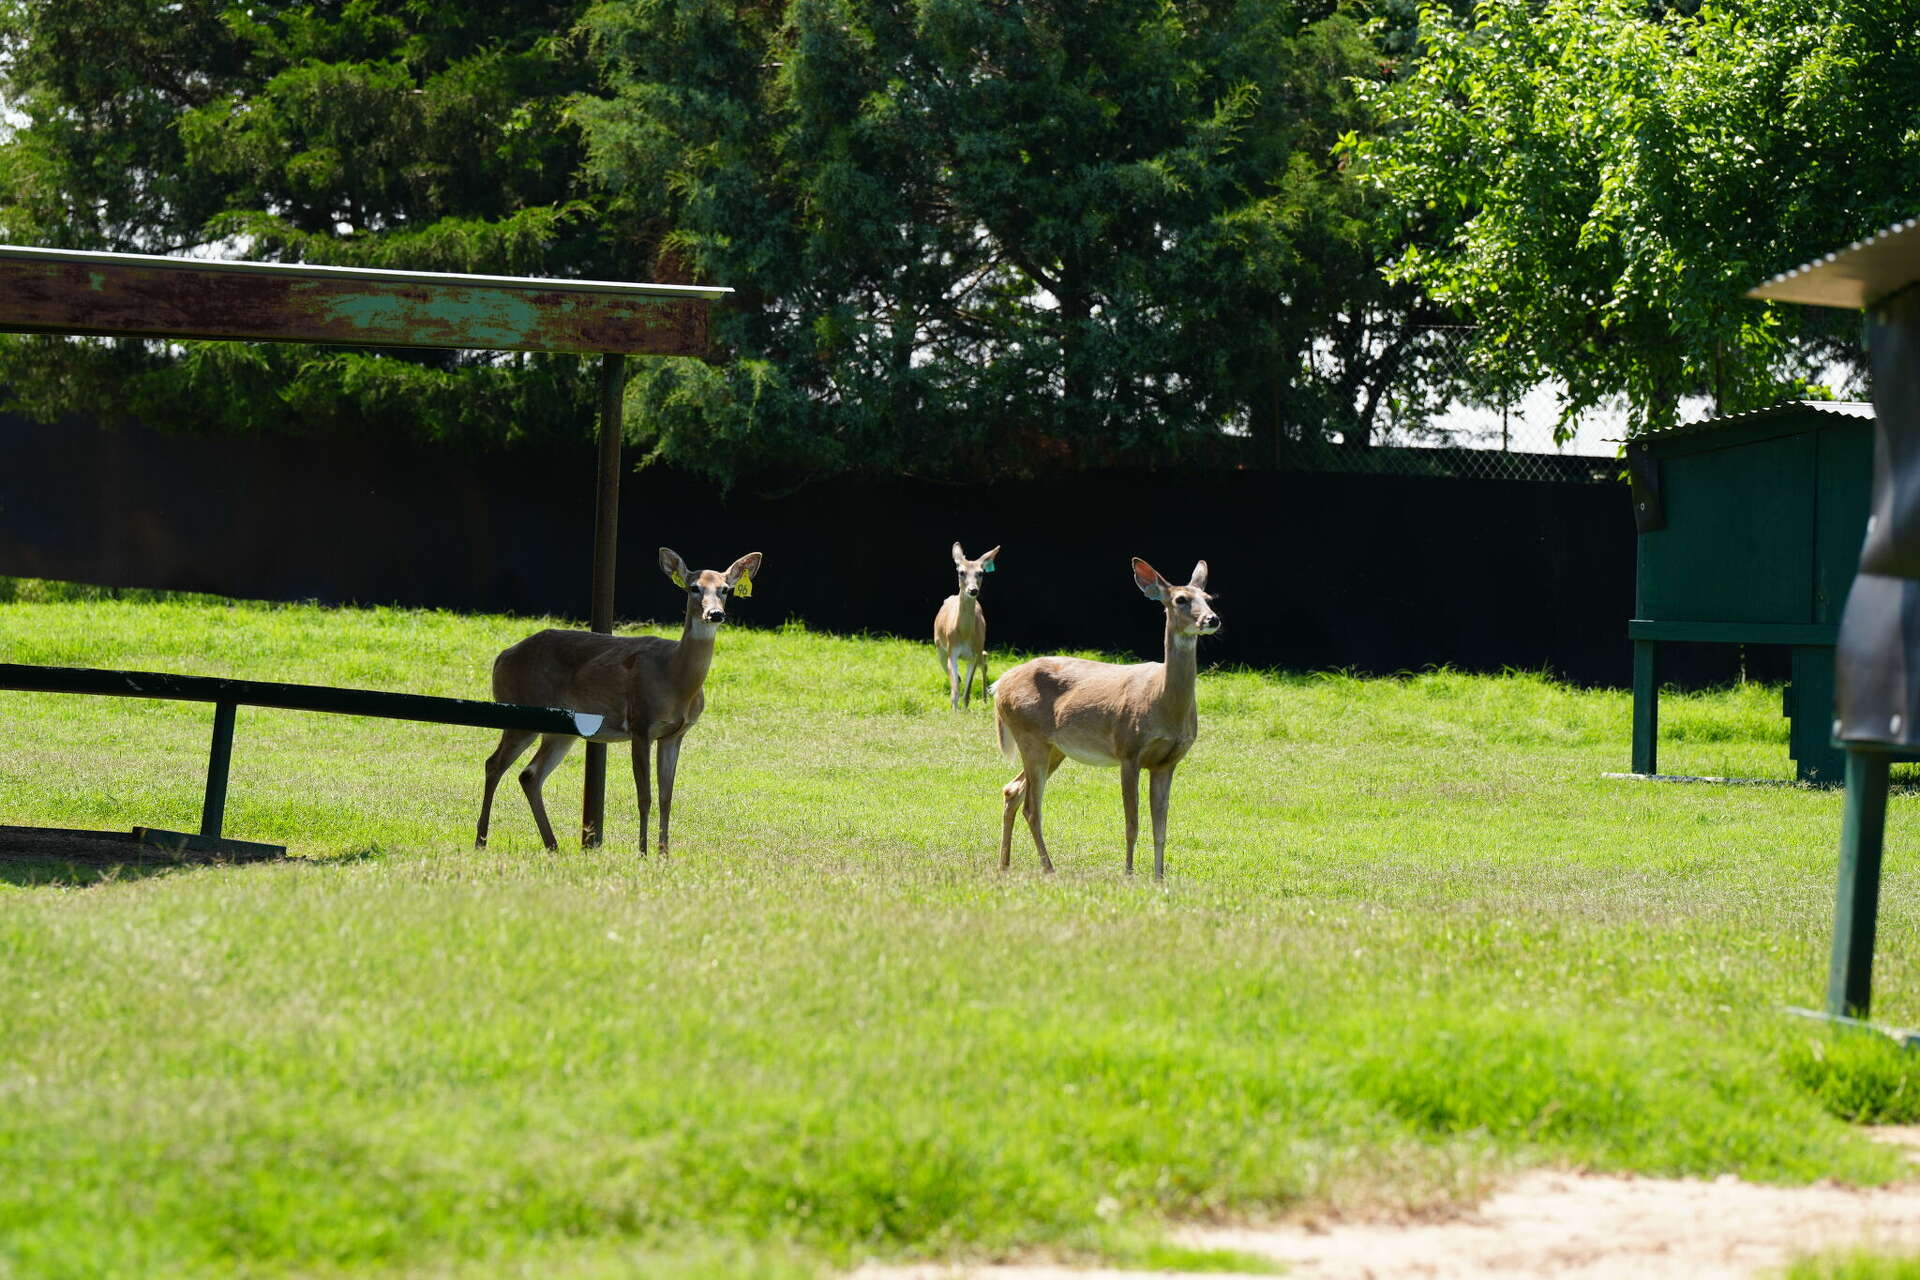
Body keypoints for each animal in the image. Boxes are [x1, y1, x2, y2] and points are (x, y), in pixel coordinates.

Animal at [474, 548, 762, 855]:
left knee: (529, 775)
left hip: (560, 730)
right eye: (693, 587)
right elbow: (645, 796)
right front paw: (643, 853)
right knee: (493, 764)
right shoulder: (640, 723)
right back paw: (481, 841)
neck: (675, 678)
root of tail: (502, 657)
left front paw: (664, 854)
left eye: (725, 589)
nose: (715, 613)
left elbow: (666, 797)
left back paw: (553, 846)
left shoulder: (675, 734)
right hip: (520, 713)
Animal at [934, 542, 1001, 710]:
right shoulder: (952, 651)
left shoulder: (974, 653)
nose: (973, 590)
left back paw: (985, 699)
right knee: (952, 674)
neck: (964, 635)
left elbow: (968, 688)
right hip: (940, 648)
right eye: (961, 572)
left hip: (980, 649)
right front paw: (955, 710)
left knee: (984, 663)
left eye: (981, 573)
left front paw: (964, 707)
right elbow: (956, 688)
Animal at [991, 557, 1220, 881]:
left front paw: (1159, 878)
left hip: (1054, 747)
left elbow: (1161, 828)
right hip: (1029, 735)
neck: (1162, 703)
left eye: (1209, 598)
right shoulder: (1128, 750)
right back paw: (1048, 868)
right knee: (1032, 808)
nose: (1212, 619)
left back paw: (1005, 865)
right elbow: (1132, 824)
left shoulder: (1167, 762)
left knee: (1012, 790)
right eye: (1180, 599)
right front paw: (1129, 875)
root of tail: (999, 685)